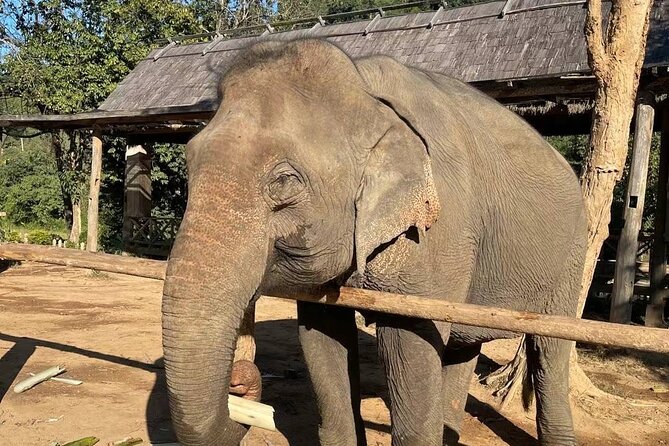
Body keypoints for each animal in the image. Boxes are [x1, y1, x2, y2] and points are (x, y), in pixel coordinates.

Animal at [161, 39, 587, 446]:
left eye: (284, 181)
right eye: (189, 161)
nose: (239, 381)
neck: (365, 89)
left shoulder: (437, 233)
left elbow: (411, 340)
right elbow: (322, 337)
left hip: (571, 258)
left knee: (549, 352)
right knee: (463, 345)